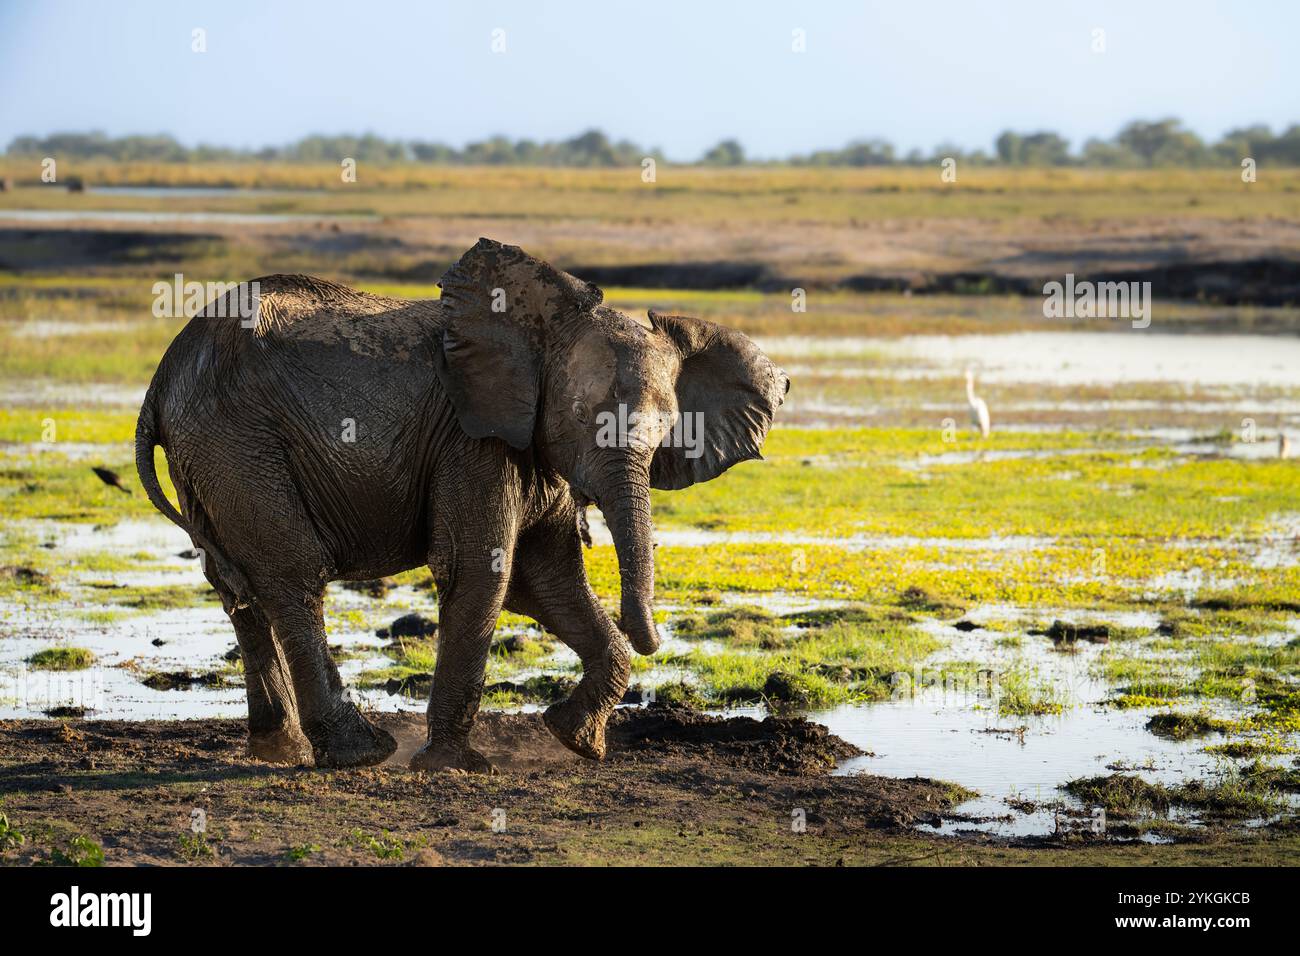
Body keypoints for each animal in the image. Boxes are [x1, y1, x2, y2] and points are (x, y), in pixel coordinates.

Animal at [135, 238, 789, 772]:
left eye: (665, 437)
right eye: (582, 419)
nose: (647, 628)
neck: (541, 329)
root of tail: (161, 379)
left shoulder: (526, 444)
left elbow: (548, 580)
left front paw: (575, 740)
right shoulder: (471, 441)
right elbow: (484, 571)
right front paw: (455, 765)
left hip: (214, 456)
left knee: (239, 591)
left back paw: (281, 750)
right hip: (239, 444)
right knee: (293, 577)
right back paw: (361, 753)